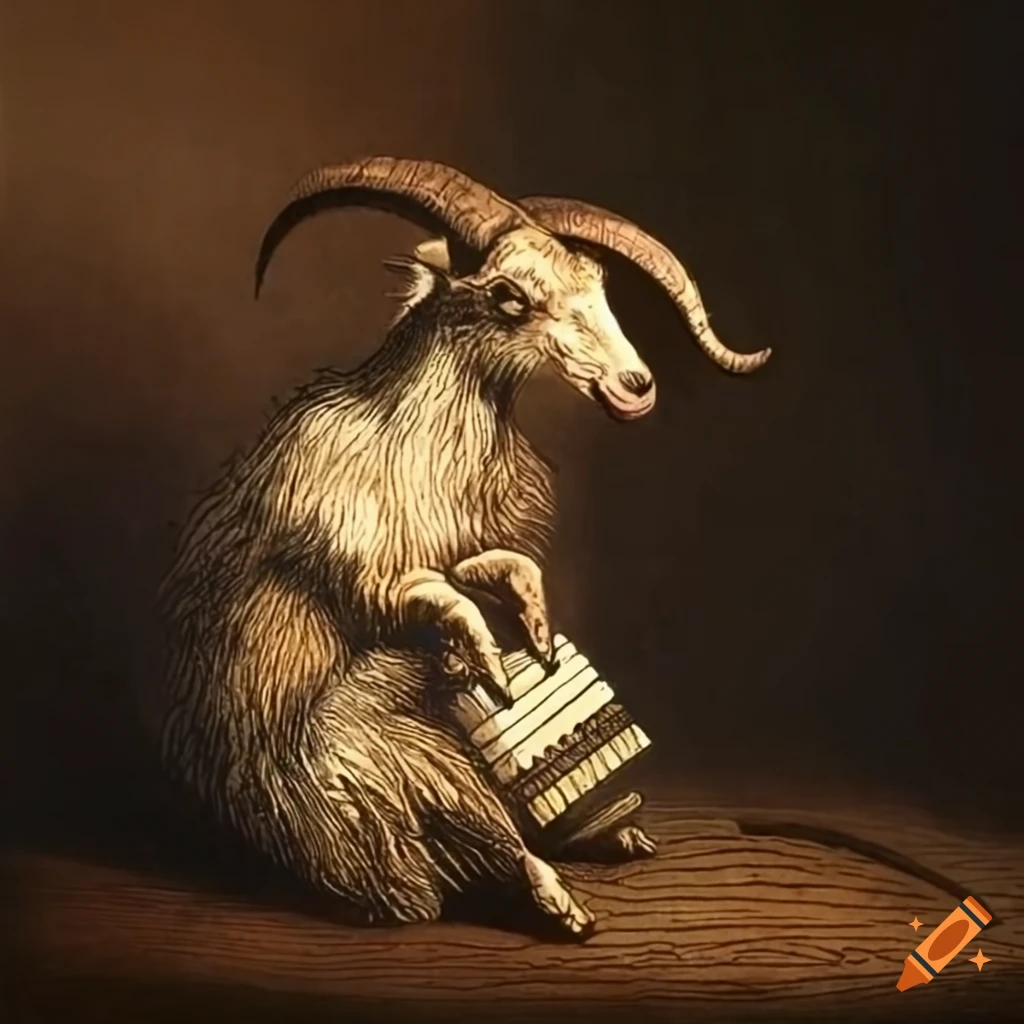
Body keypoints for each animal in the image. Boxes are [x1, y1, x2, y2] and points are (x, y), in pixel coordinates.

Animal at [158, 157, 771, 940]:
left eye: (596, 283)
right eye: (509, 295)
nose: (634, 386)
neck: (422, 440)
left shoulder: (468, 544)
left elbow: (496, 567)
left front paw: (534, 630)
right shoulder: (362, 569)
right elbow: (426, 596)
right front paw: (494, 666)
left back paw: (616, 833)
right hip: (415, 770)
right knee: (505, 846)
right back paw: (567, 905)